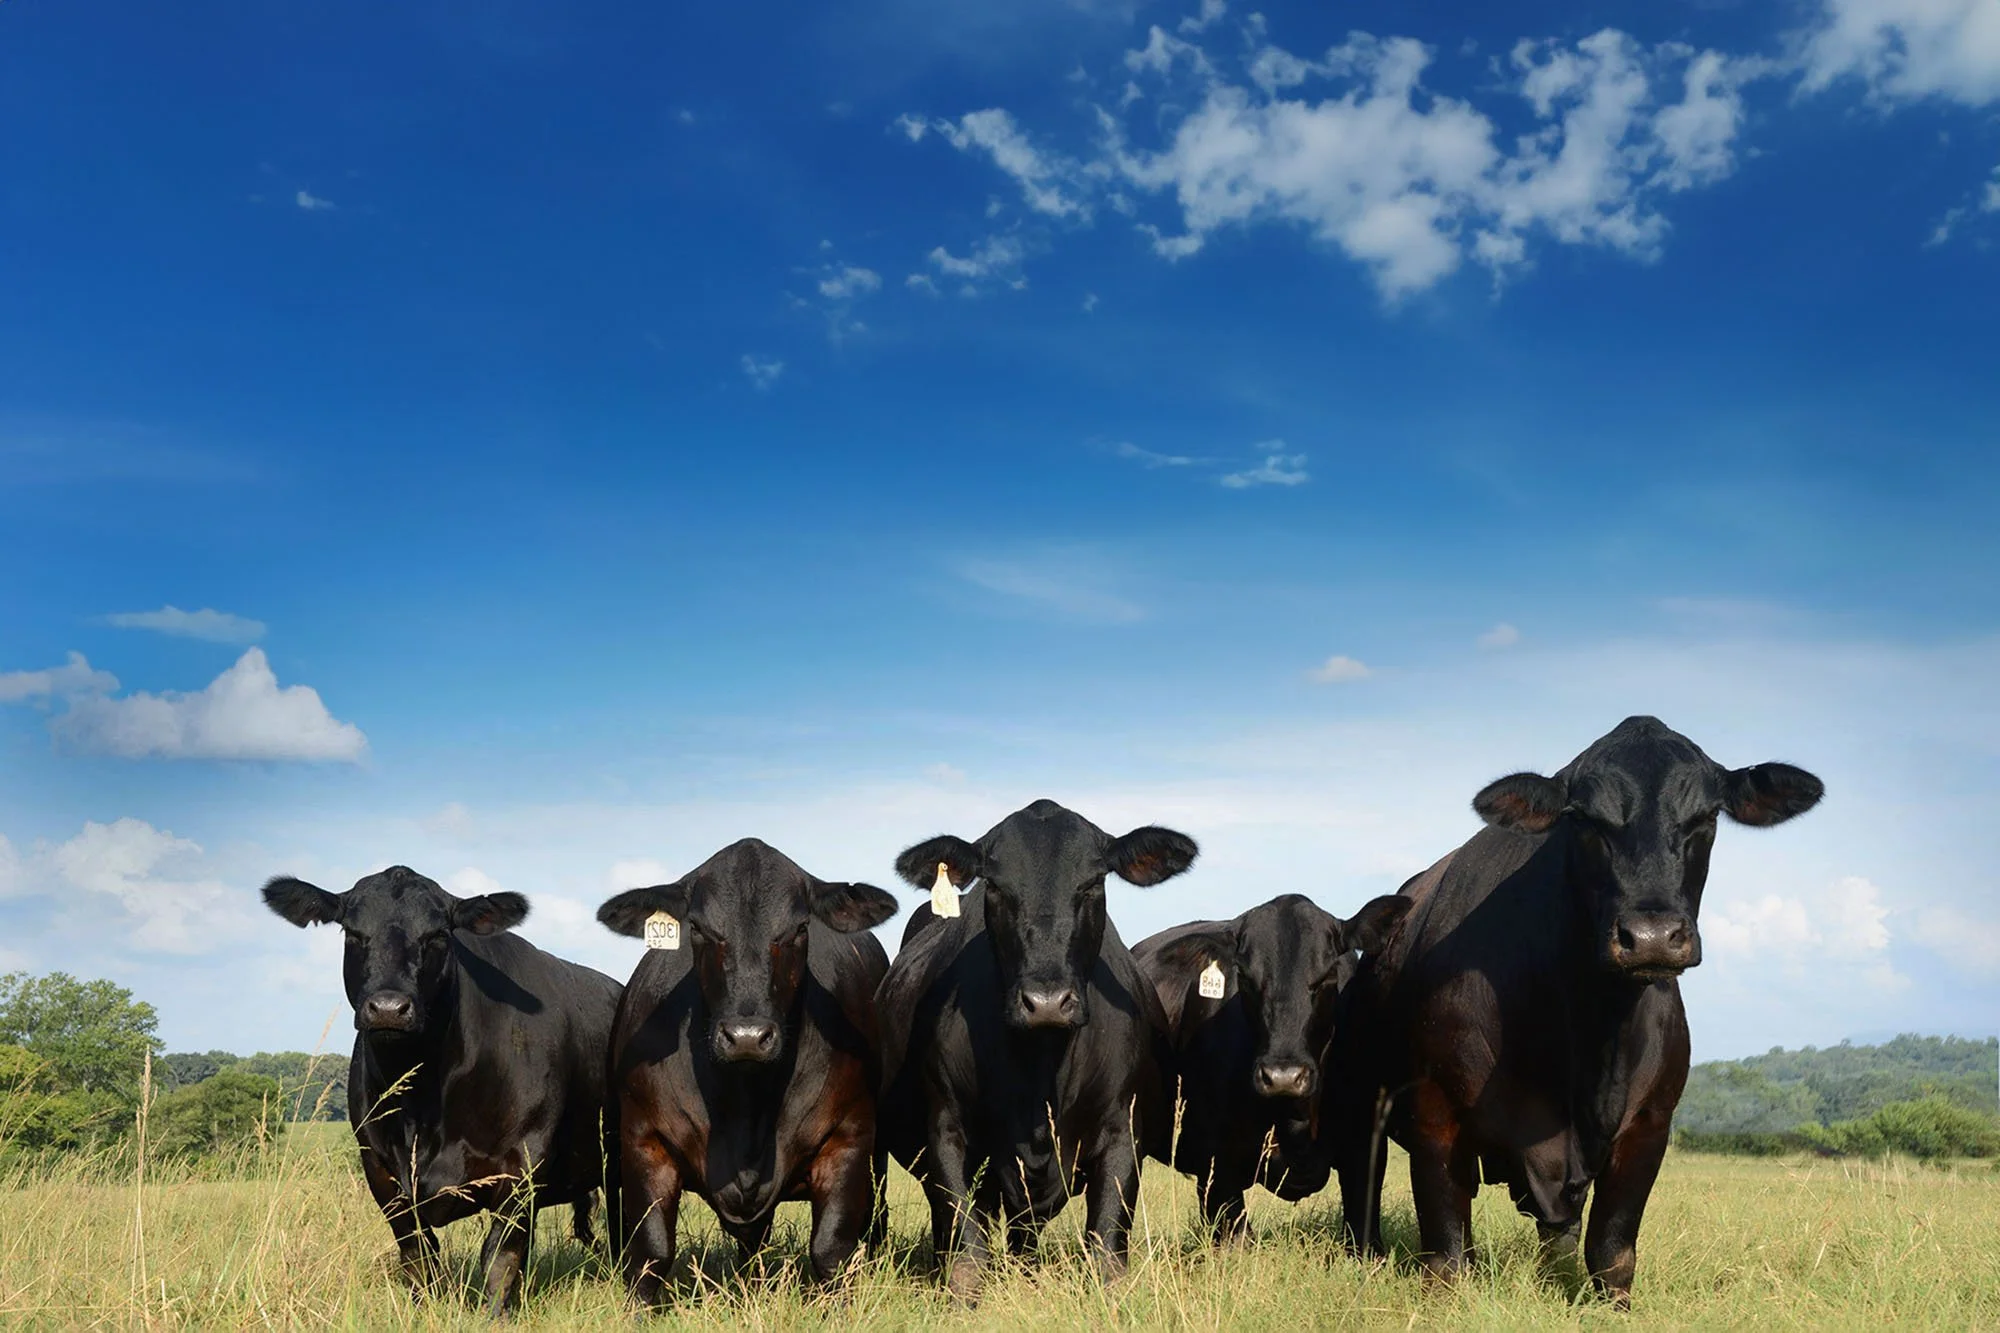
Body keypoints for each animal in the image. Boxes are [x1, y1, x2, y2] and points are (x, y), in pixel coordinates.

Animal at [261, 866, 623, 1313]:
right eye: (352, 933)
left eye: (437, 935)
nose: (388, 1008)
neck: (423, 1104)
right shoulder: (378, 1165)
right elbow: (417, 1253)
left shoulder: (525, 1156)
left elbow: (501, 1256)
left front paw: (495, 1315)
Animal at [594, 838, 898, 1307]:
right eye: (698, 928)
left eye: (799, 928)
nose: (747, 1036)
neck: (746, 1106)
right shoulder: (643, 1138)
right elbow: (651, 1252)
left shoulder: (849, 1136)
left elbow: (832, 1250)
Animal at [875, 799, 1198, 1300]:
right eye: (995, 885)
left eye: (1092, 883)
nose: (1046, 1002)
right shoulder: (946, 1129)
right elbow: (966, 1250)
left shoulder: (1123, 1128)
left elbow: (1107, 1247)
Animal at [1328, 716, 1824, 1304]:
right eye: (1585, 819)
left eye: (1706, 817)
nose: (1651, 937)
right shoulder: (1436, 1116)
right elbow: (1447, 1259)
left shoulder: (1649, 1124)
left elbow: (1612, 1253)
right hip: (1362, 1105)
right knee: (1364, 1187)